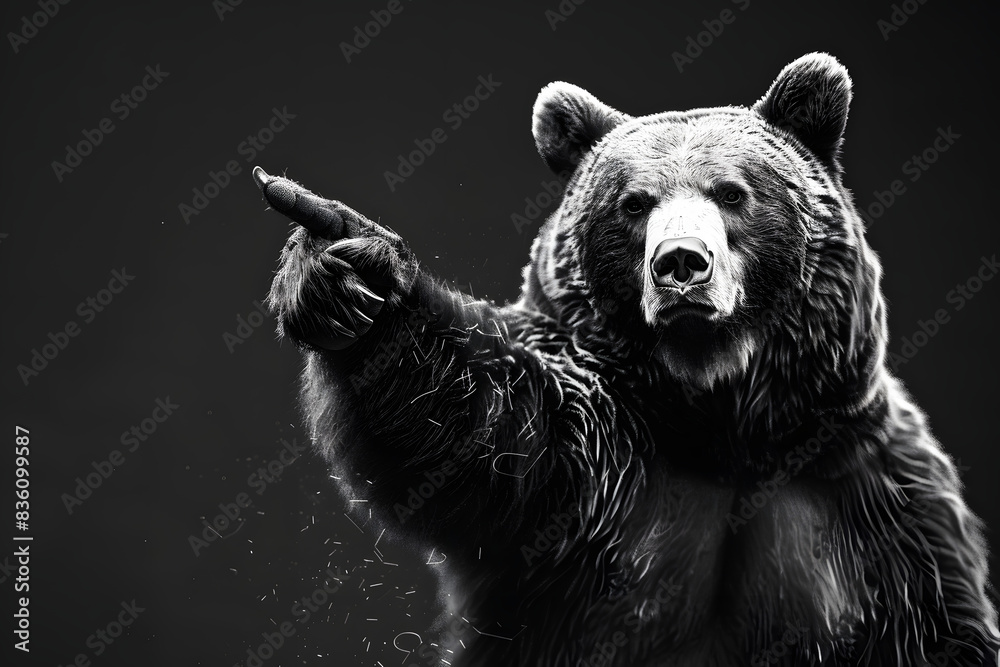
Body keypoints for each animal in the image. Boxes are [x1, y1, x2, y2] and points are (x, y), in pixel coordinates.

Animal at [255, 53, 999, 666]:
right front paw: (348, 267)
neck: (723, 424)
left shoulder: (872, 509)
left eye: (732, 191)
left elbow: (933, 628)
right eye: (635, 203)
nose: (681, 263)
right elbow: (477, 418)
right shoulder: (590, 467)